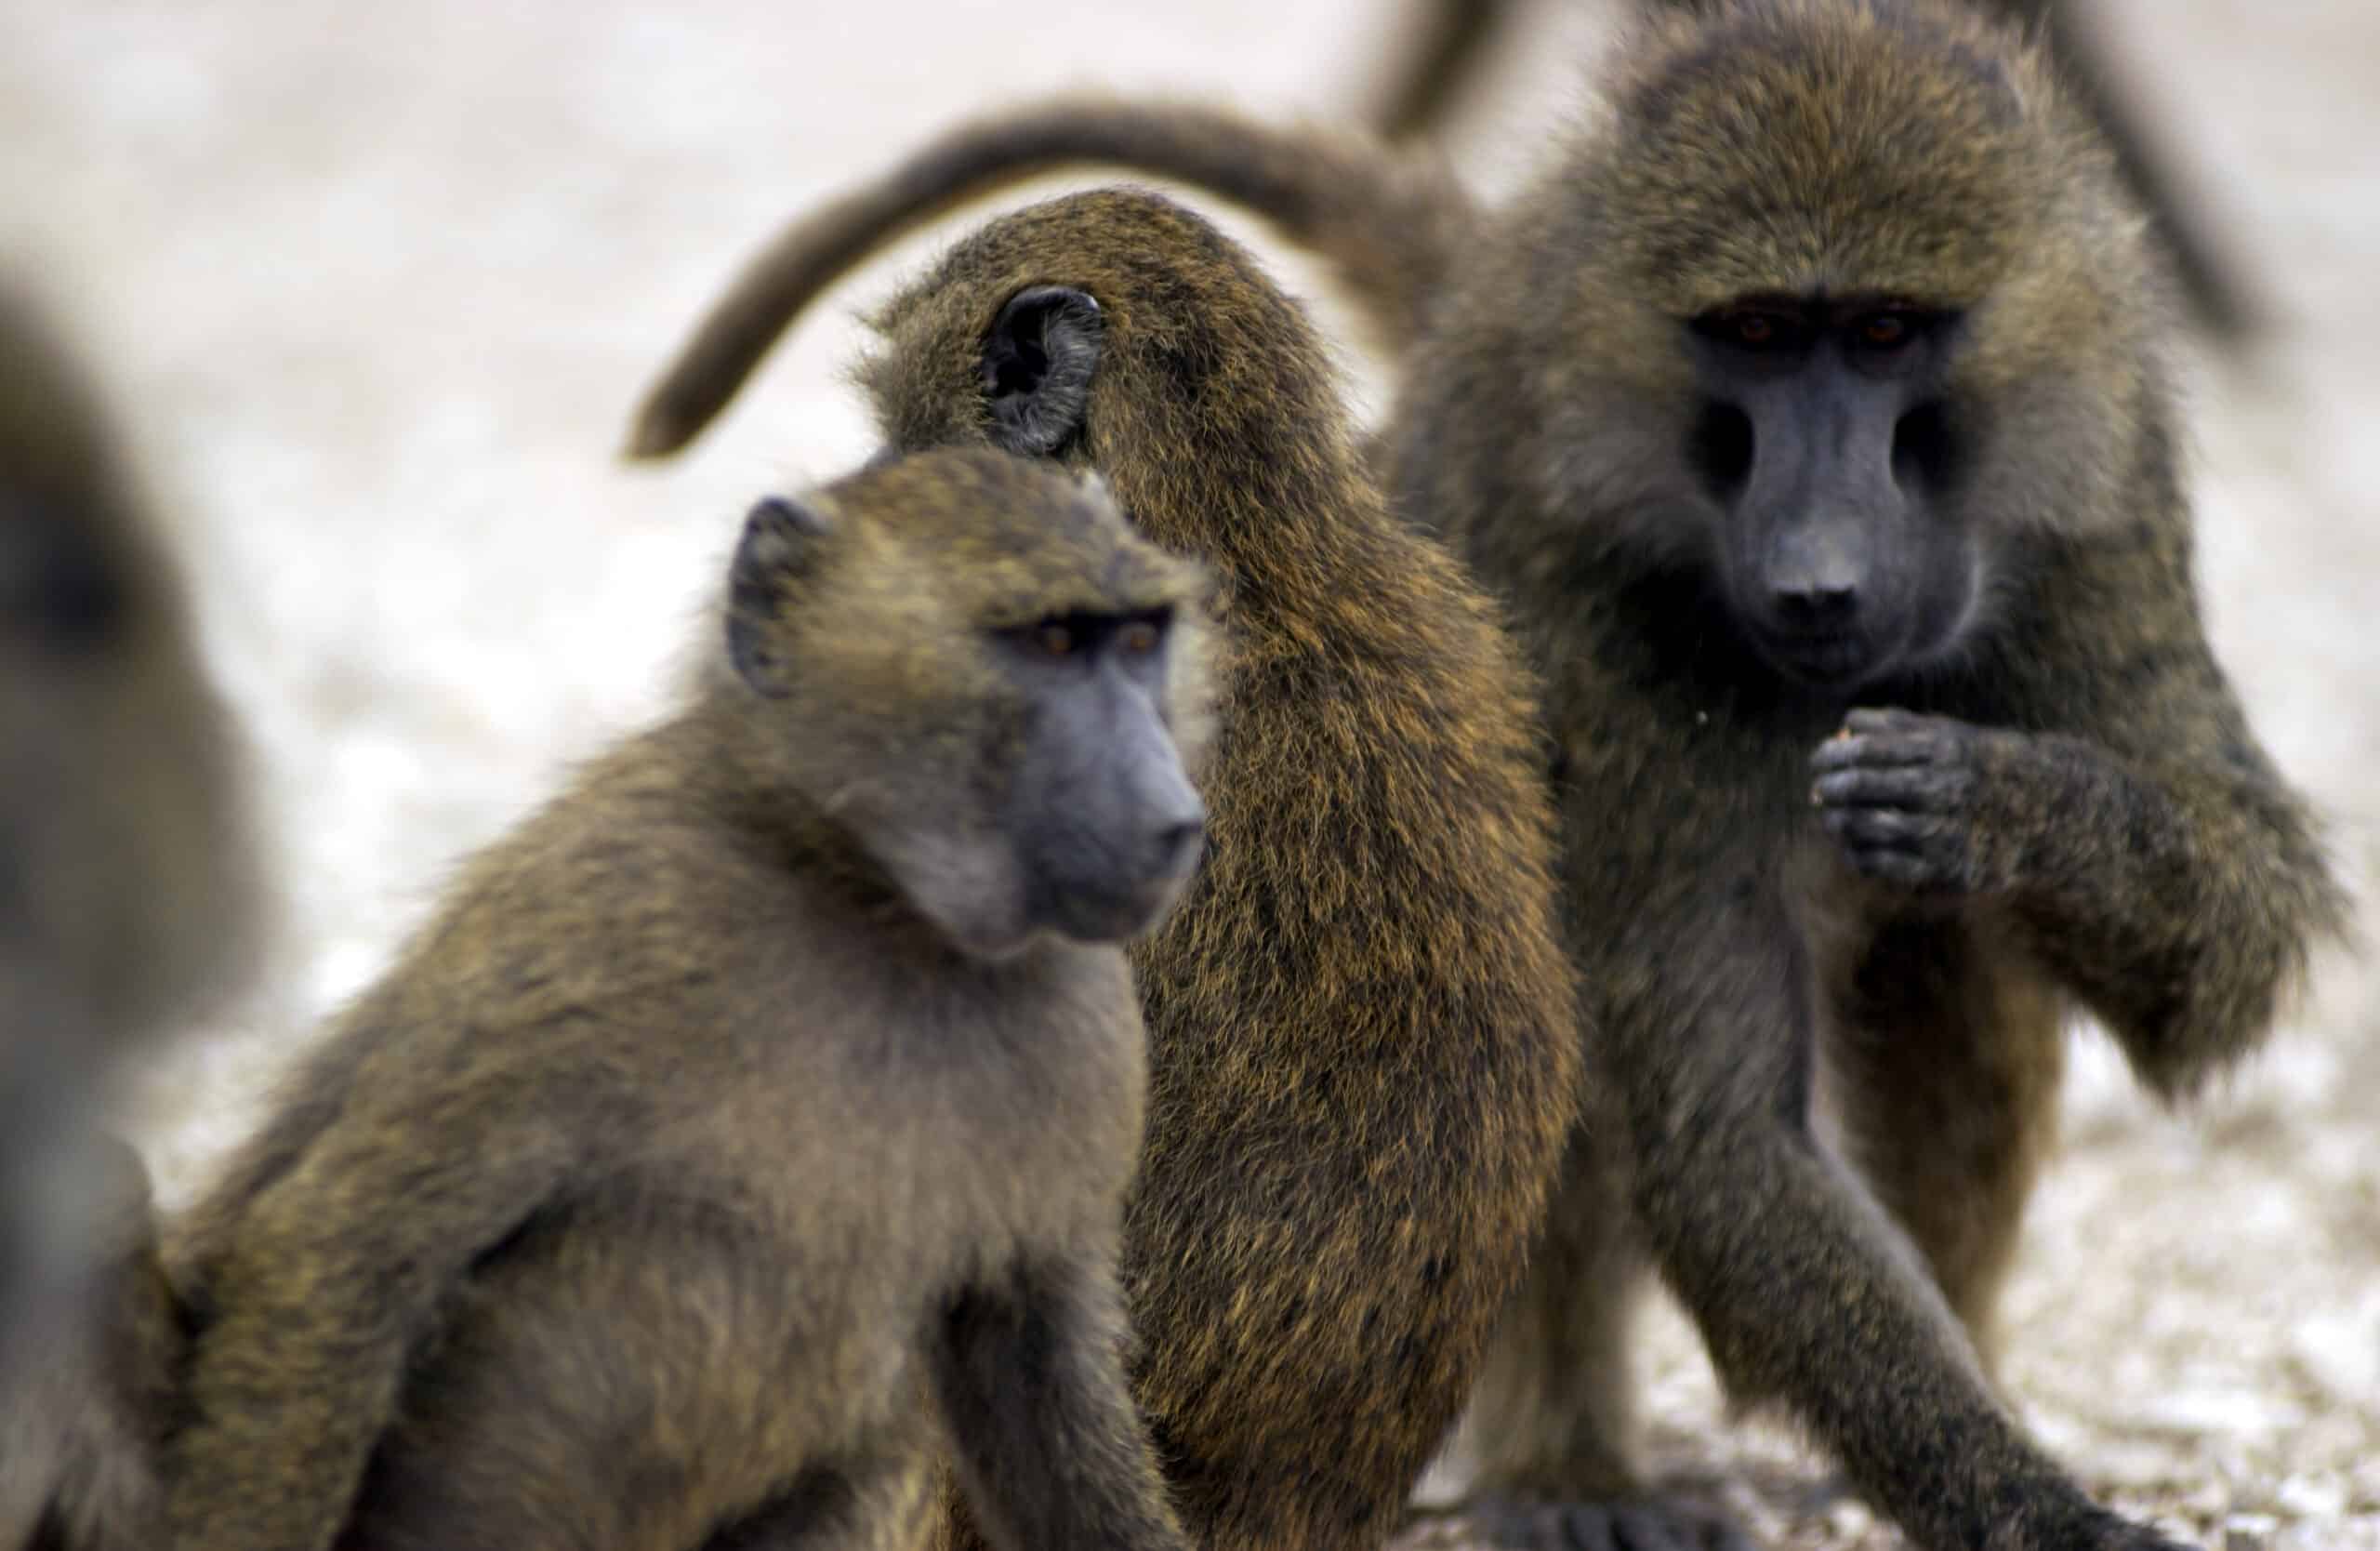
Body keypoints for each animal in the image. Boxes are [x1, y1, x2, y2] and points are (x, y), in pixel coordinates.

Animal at [158, 445, 1217, 1551]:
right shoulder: (614, 906)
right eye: (1050, 642)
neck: (874, 897)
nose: (1174, 818)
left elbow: (1038, 1382)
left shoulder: (1090, 1026)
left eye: (1139, 642)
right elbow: (347, 1246)